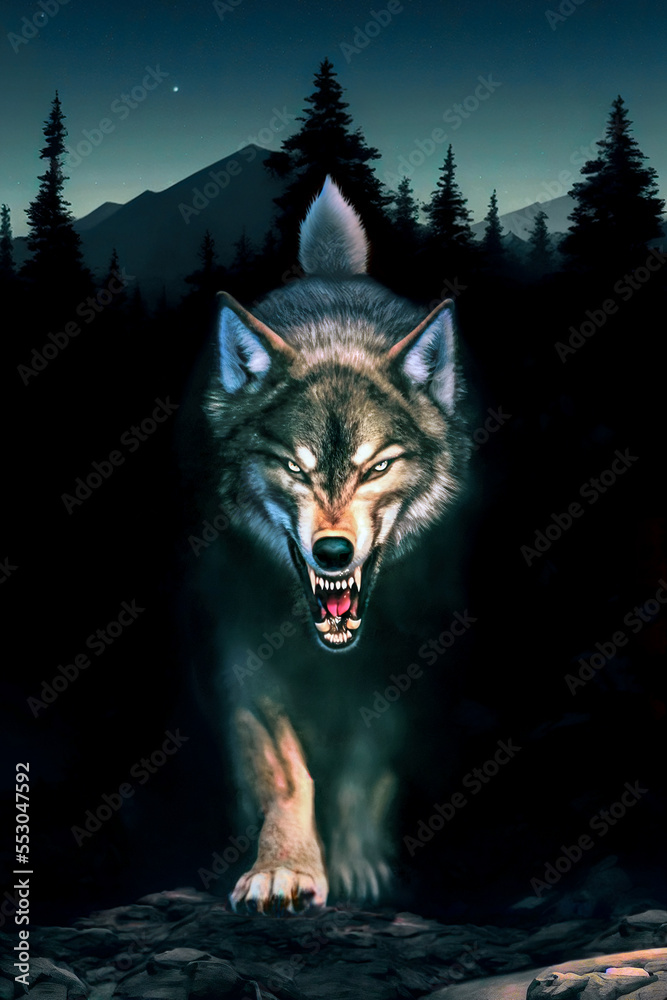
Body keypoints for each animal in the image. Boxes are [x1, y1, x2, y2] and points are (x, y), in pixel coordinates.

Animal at [197, 177, 469, 914]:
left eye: (376, 468)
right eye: (296, 468)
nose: (334, 555)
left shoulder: (409, 660)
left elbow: (366, 768)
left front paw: (357, 867)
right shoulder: (237, 649)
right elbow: (284, 772)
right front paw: (282, 869)